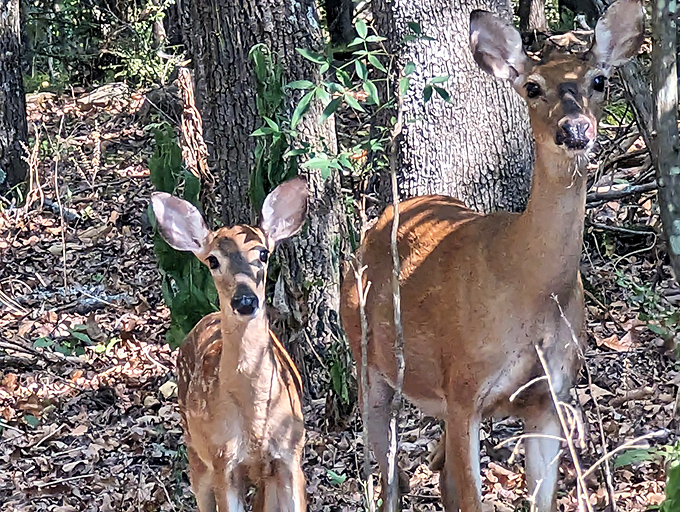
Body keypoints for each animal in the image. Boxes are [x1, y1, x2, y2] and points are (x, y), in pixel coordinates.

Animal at [151, 177, 308, 512]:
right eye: (212, 260)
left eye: (263, 254)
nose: (245, 300)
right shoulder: (223, 460)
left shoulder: (291, 452)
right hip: (196, 452)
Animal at [340, 1, 644, 510]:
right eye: (532, 86)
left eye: (599, 80)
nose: (574, 129)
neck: (527, 290)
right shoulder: (465, 388)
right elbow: (469, 496)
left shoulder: (551, 396)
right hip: (367, 361)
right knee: (390, 478)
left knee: (435, 475)